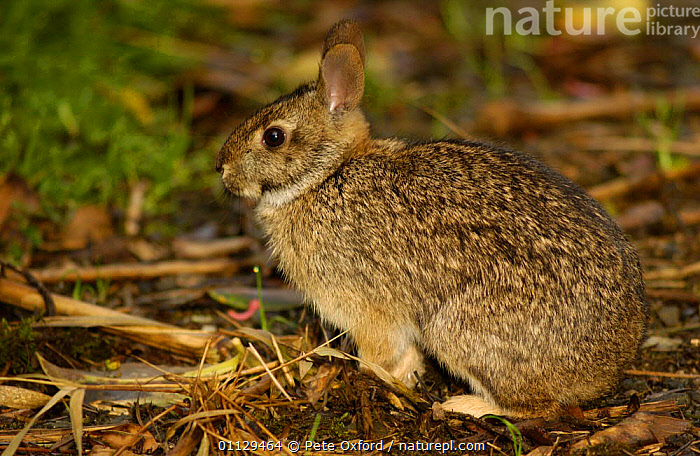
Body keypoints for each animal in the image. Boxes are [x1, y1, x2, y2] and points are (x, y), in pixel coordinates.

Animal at [216, 20, 649, 419]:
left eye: (273, 137)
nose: (221, 168)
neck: (326, 175)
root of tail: (609, 367)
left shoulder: (365, 306)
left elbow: (377, 351)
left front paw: (379, 377)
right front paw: (409, 374)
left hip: (460, 331)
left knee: (533, 407)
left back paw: (464, 405)